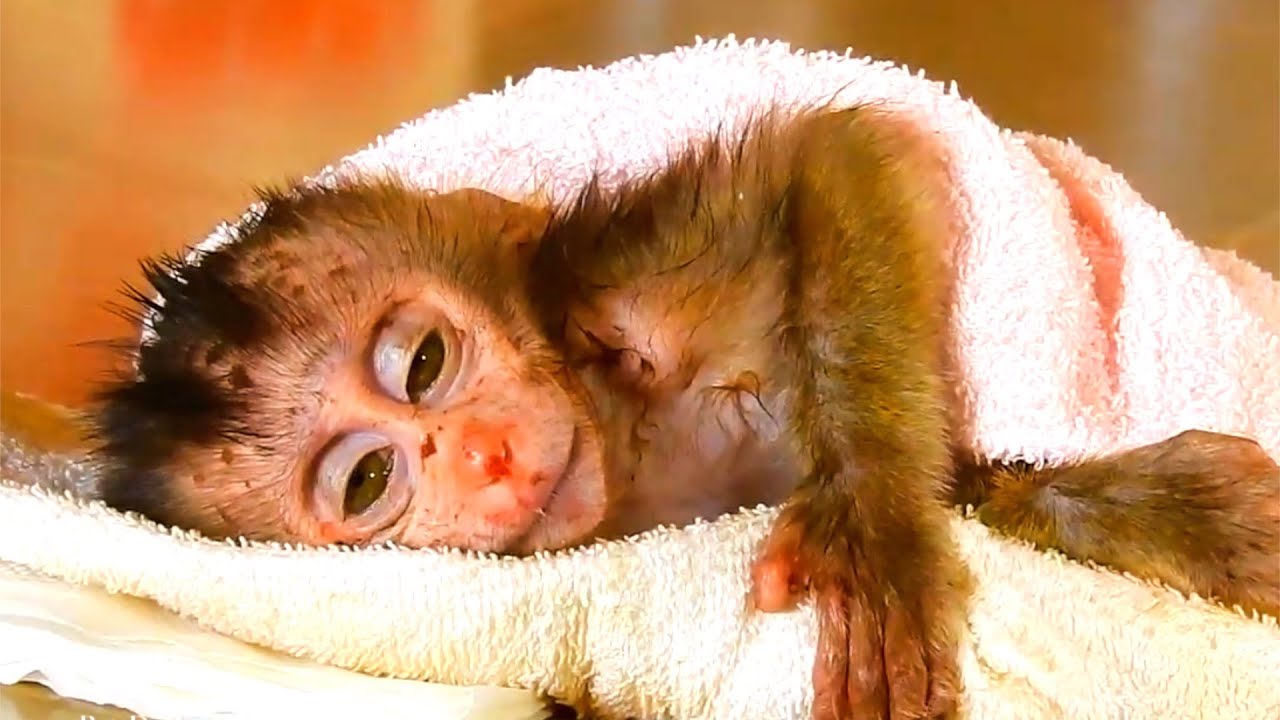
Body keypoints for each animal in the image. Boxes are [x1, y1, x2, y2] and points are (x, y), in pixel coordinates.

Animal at [91, 106, 1279, 720]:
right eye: (372, 480)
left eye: (424, 360)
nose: (481, 459)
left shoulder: (624, 283)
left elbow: (834, 156)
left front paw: (871, 529)